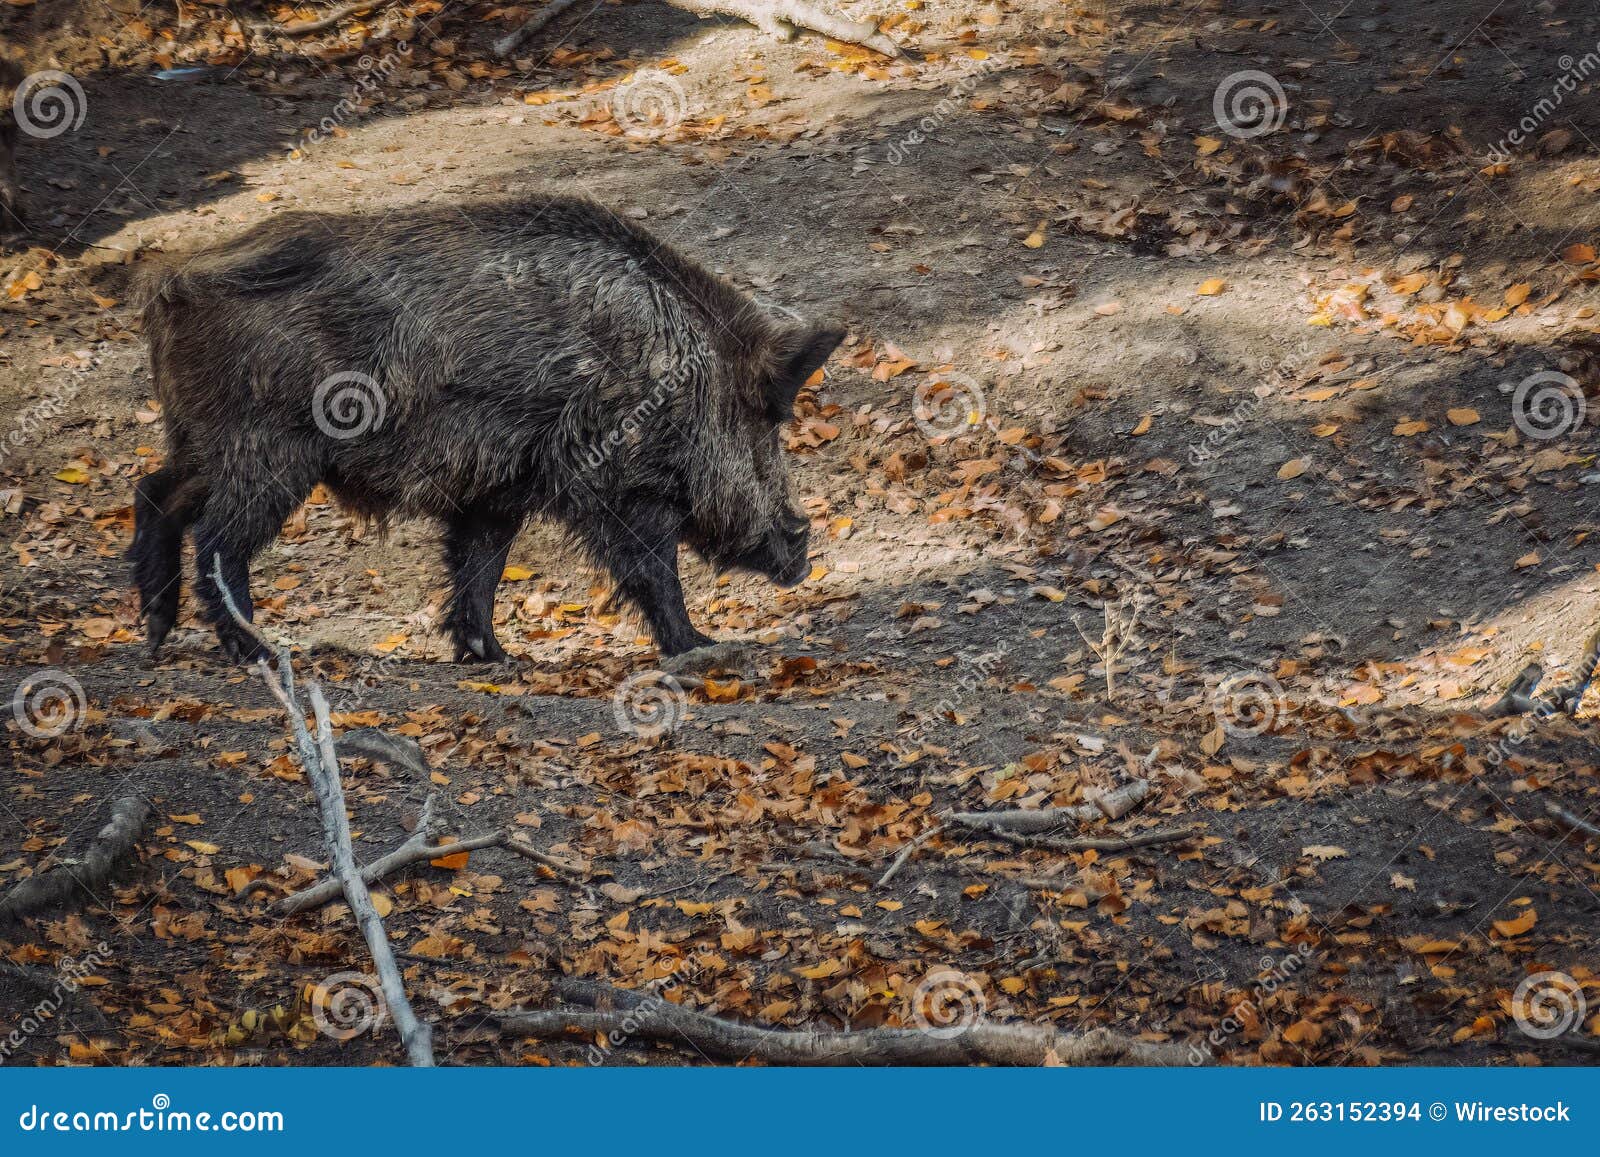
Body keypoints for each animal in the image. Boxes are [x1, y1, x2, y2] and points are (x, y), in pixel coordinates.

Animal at [129, 196, 844, 664]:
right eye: (765, 419)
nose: (804, 552)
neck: (681, 372)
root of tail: (169, 284)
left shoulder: (497, 488)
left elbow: (481, 564)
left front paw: (494, 657)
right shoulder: (612, 480)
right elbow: (651, 566)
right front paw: (702, 648)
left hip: (203, 440)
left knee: (155, 492)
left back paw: (158, 634)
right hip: (266, 450)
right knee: (217, 538)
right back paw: (255, 653)